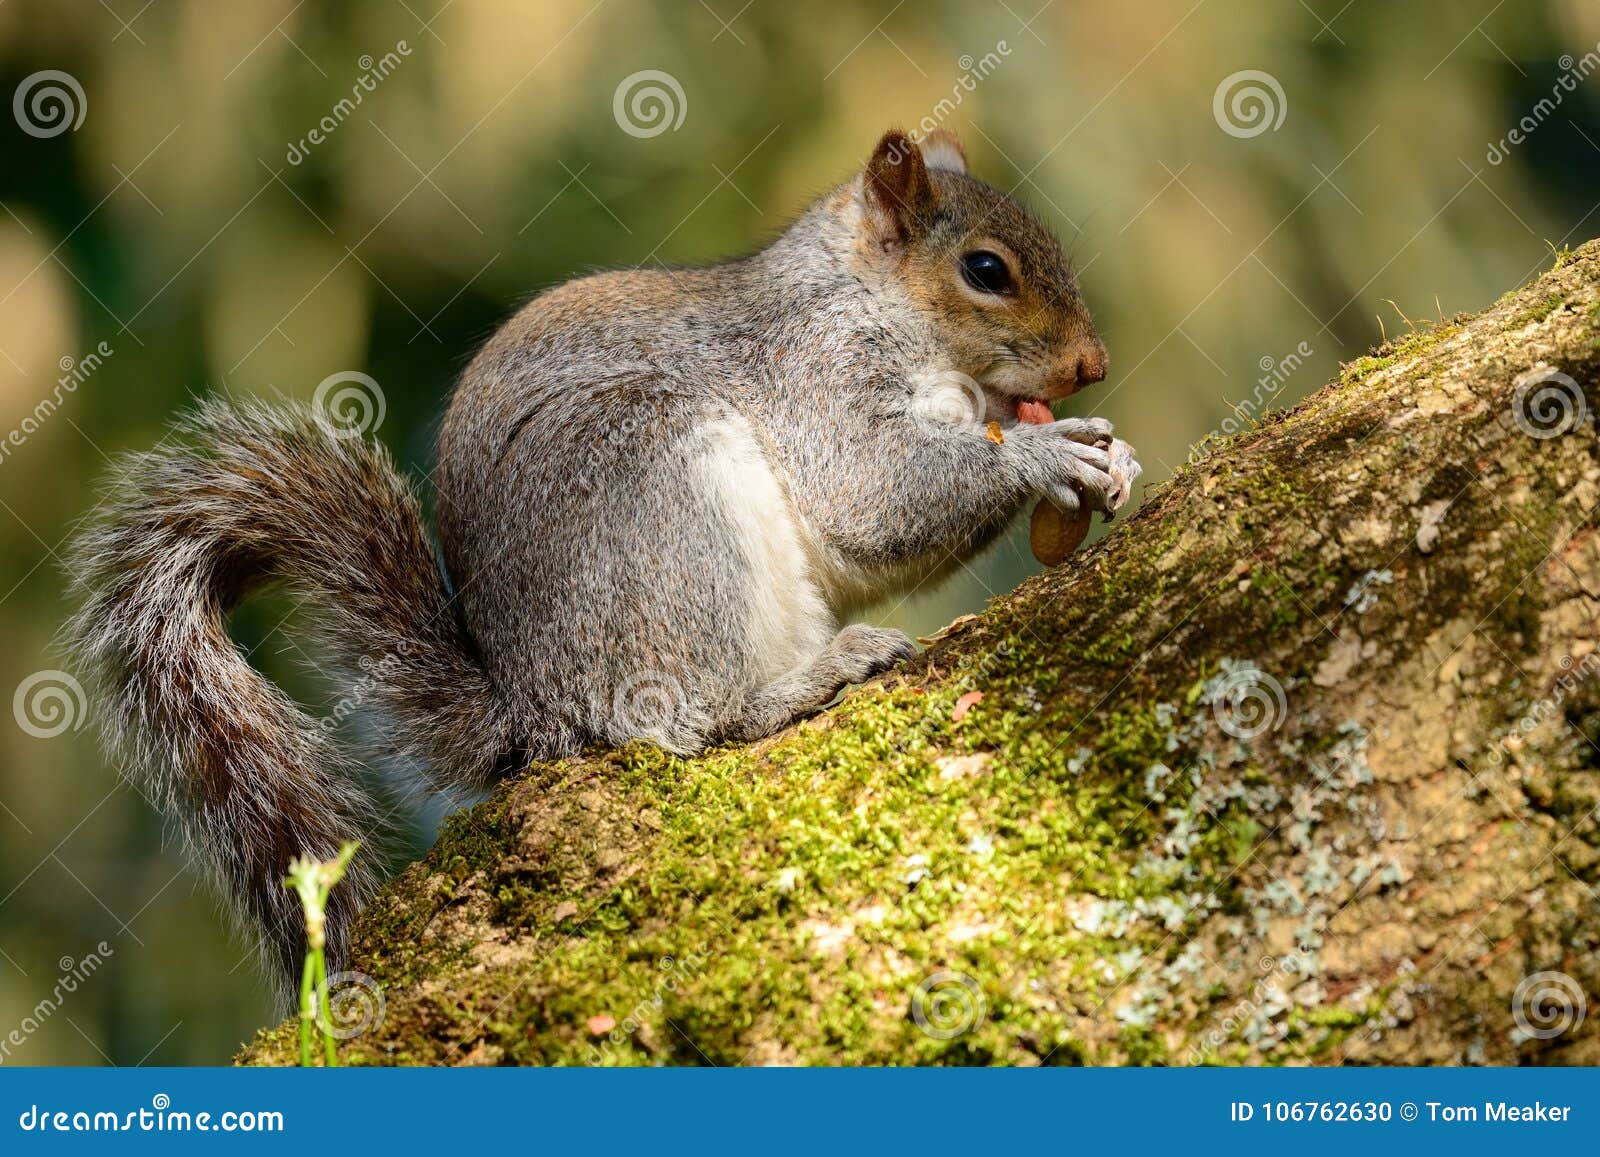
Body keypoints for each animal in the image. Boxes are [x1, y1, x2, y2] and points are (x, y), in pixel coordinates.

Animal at [65, 128, 1140, 999]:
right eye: (986, 269)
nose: (1093, 366)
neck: (864, 300)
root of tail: (532, 709)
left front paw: (1107, 452)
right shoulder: (815, 376)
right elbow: (871, 499)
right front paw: (1049, 453)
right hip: (654, 497)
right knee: (691, 721)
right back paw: (807, 681)